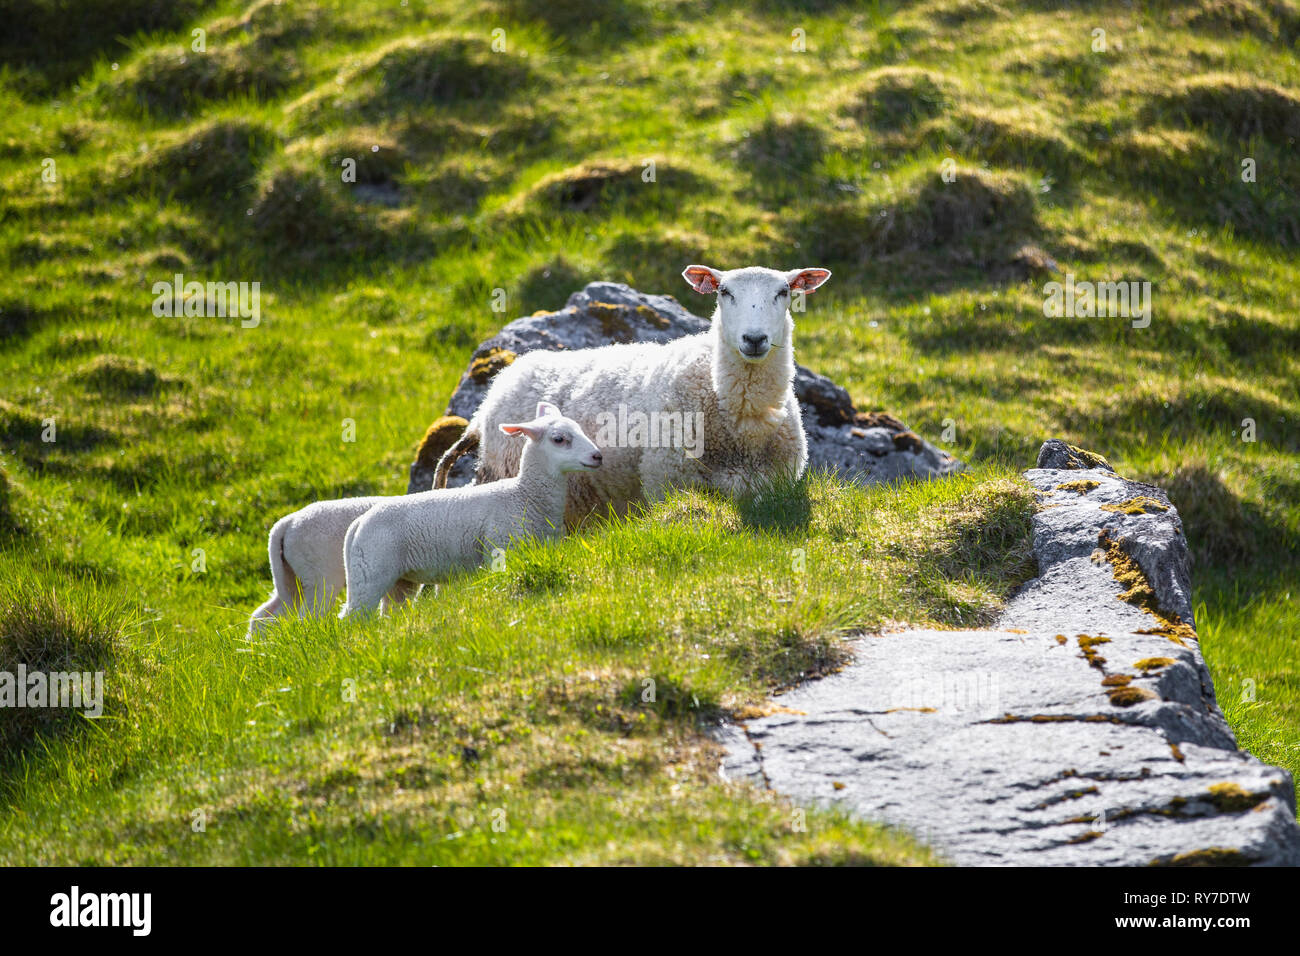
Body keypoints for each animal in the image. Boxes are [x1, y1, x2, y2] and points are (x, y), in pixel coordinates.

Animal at [339, 402, 602, 616]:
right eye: (559, 439)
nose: (597, 456)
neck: (525, 495)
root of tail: (358, 523)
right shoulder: (502, 548)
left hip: (400, 581)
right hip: (370, 572)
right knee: (353, 617)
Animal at [433, 265, 831, 526]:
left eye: (784, 292)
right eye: (724, 292)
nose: (754, 339)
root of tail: (488, 401)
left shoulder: (770, 487)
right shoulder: (667, 481)